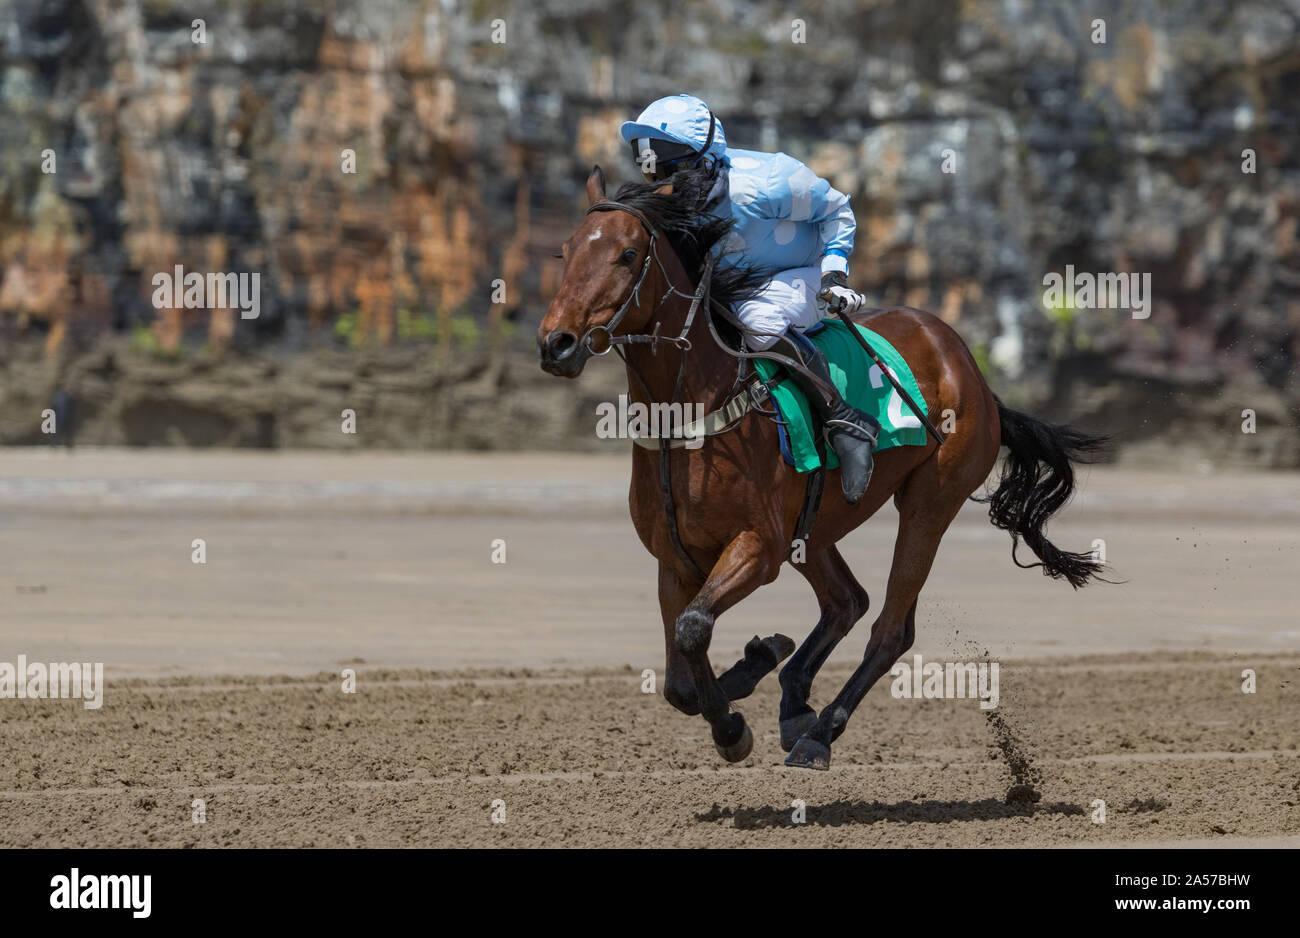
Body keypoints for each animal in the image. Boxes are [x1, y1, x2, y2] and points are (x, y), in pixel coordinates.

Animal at [538, 165, 1106, 770]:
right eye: (566, 250)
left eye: (626, 254)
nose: (557, 343)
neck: (693, 415)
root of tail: (968, 364)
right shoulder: (676, 560)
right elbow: (680, 678)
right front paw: (753, 667)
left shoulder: (757, 547)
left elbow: (693, 630)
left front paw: (734, 727)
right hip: (813, 522)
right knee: (845, 601)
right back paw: (791, 699)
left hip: (931, 500)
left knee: (890, 628)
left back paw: (819, 732)